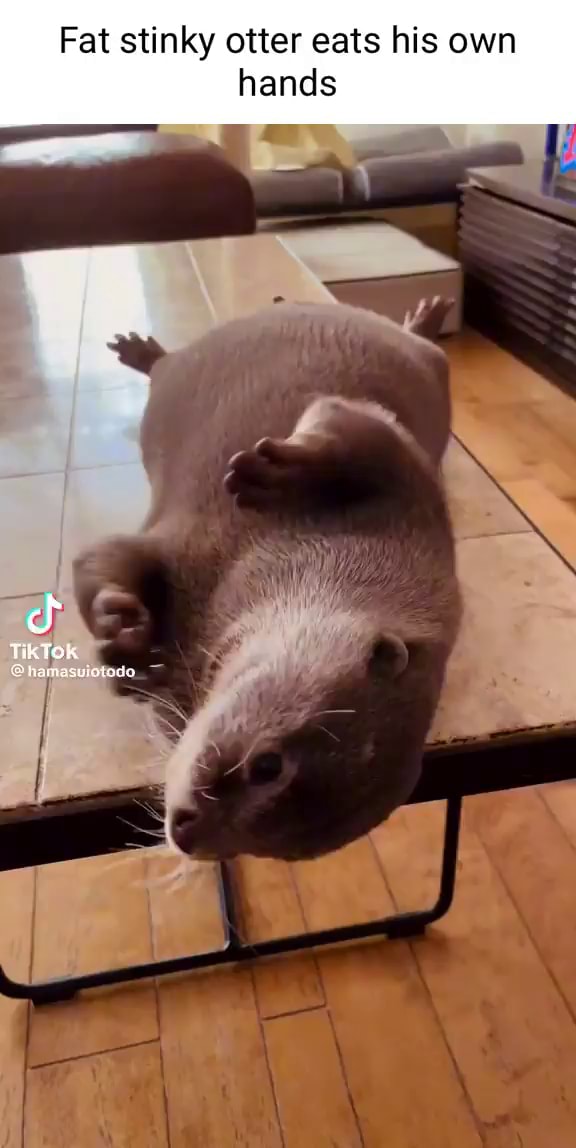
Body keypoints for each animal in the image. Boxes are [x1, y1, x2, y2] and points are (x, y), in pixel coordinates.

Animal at [73, 297, 461, 862]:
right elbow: (355, 425)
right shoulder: (414, 503)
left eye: (261, 847)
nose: (187, 832)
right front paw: (124, 633)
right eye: (267, 767)